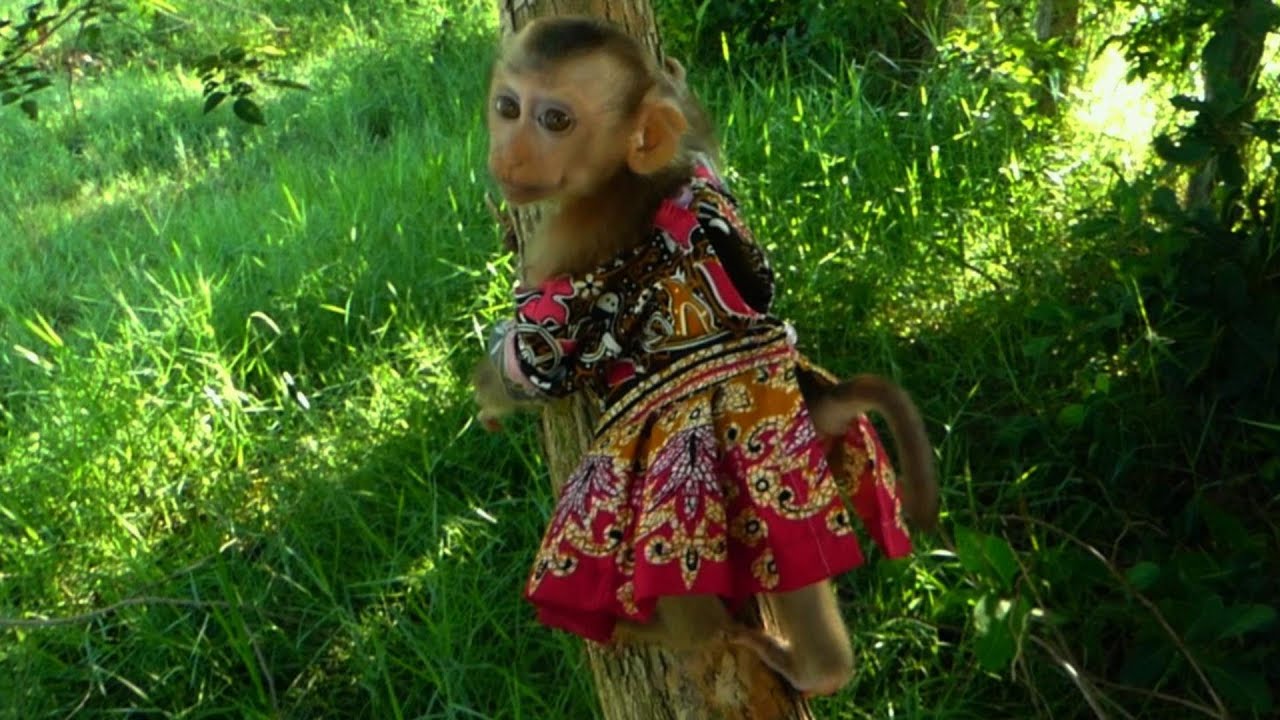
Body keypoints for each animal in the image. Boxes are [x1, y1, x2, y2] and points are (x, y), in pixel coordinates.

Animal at [475, 16, 938, 697]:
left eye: (555, 120)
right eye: (508, 108)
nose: (508, 154)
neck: (631, 178)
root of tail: (821, 396)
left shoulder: (567, 242)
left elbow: (538, 358)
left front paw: (491, 389)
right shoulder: (702, 176)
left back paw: (672, 630)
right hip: (796, 463)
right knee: (795, 557)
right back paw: (823, 667)